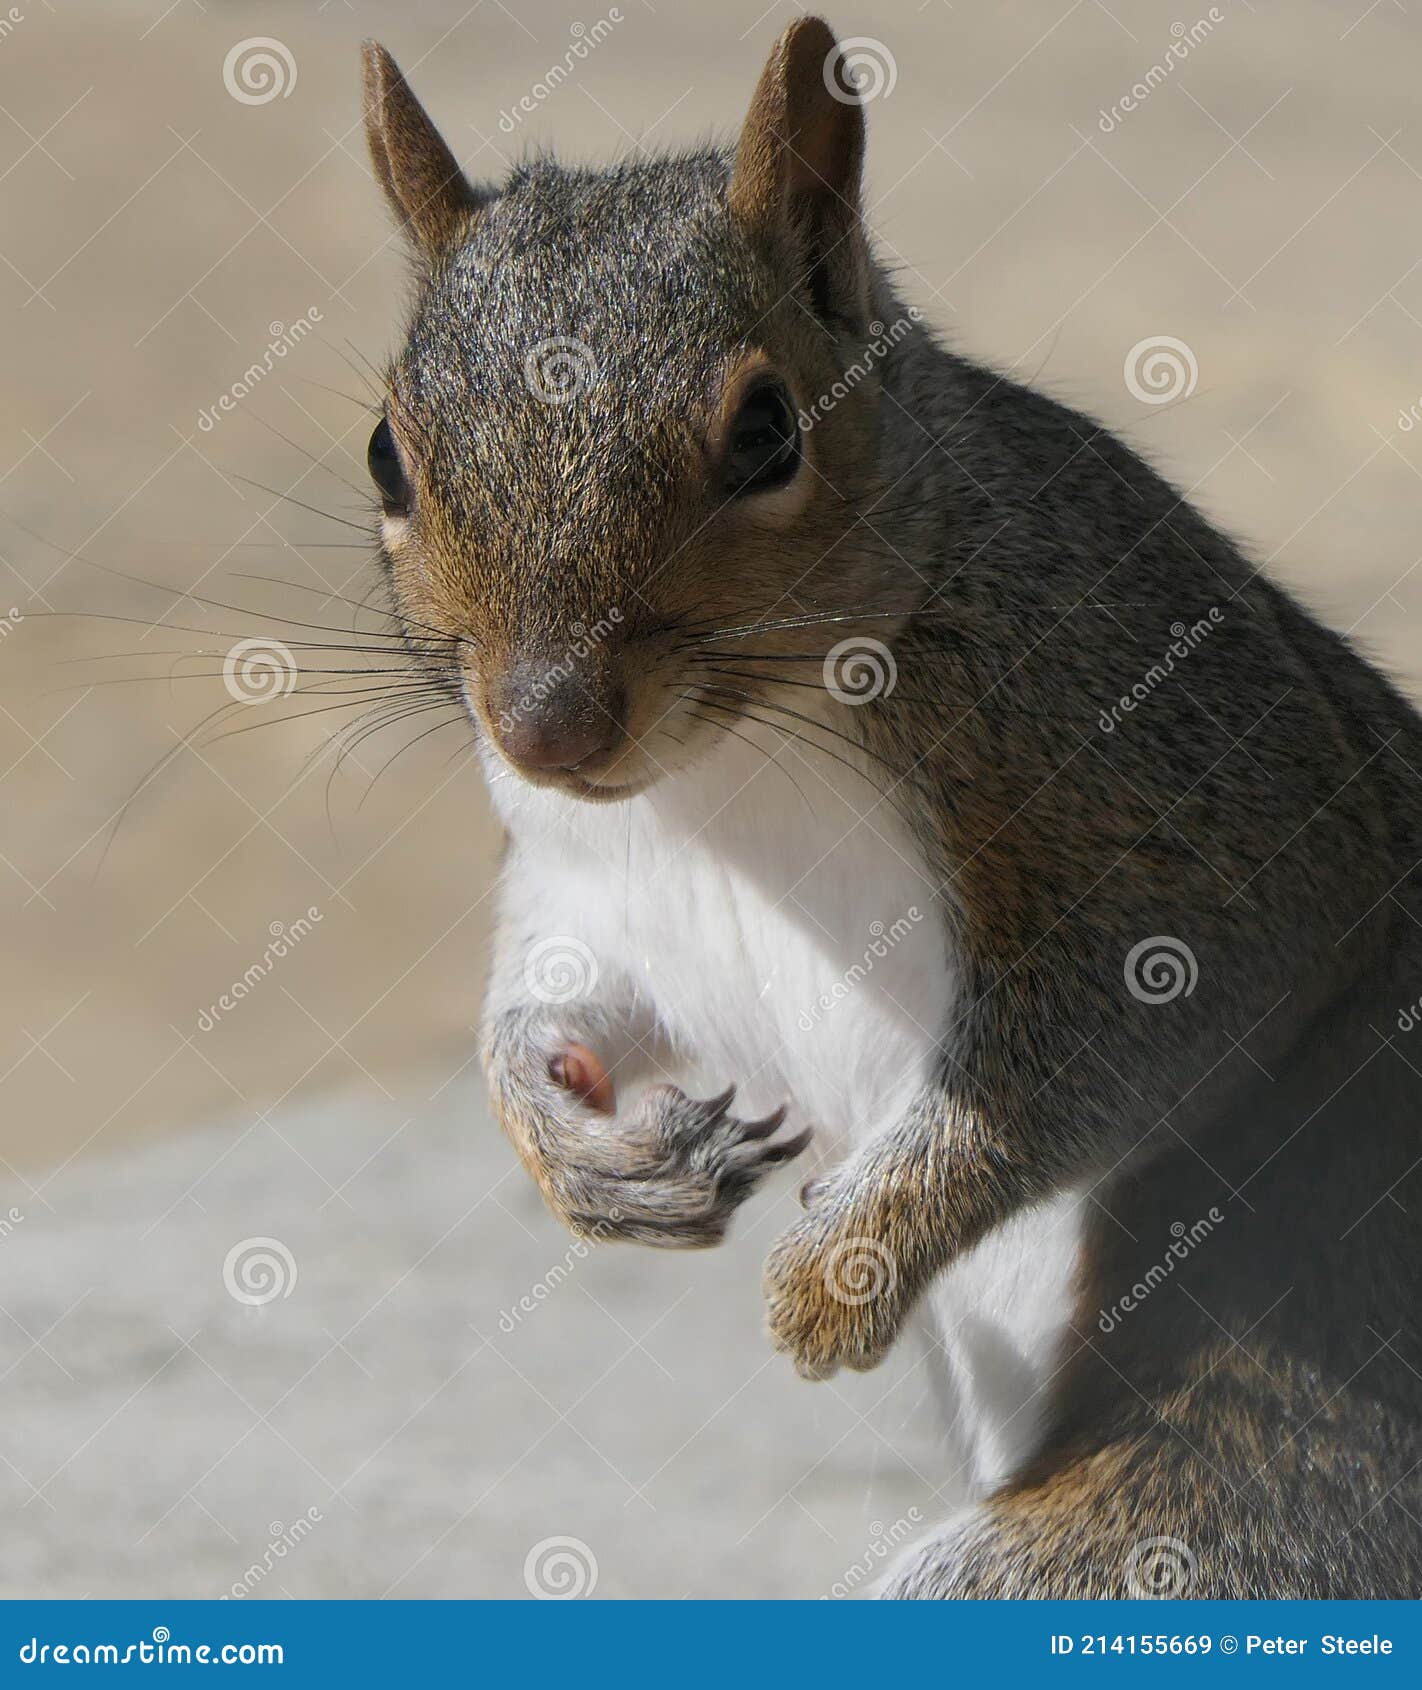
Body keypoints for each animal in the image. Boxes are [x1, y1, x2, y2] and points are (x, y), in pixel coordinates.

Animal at [359, 20, 1422, 1598]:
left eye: (765, 434)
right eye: (385, 453)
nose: (545, 721)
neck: (723, 770)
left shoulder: (1165, 766)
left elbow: (1167, 1001)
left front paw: (843, 1269)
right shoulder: (594, 880)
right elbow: (562, 993)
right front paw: (582, 1153)